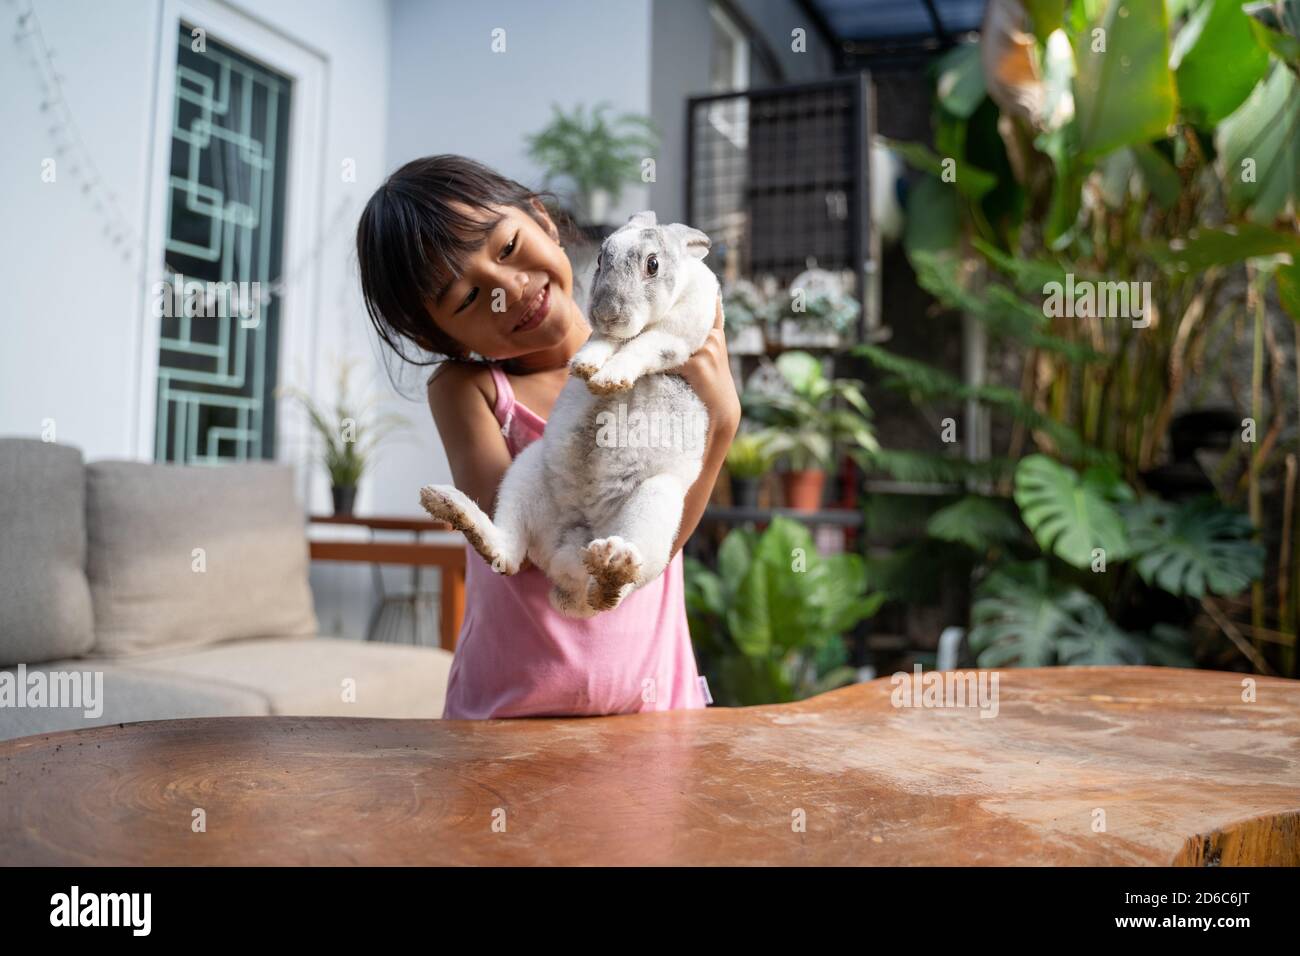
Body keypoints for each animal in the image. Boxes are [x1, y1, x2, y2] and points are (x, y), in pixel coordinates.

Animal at [419, 210, 720, 618]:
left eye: (653, 265)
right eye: (600, 259)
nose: (607, 314)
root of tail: (571, 551)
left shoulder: (676, 335)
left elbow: (641, 346)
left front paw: (609, 380)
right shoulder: (609, 335)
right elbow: (602, 342)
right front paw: (584, 368)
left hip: (658, 502)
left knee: (611, 592)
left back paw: (613, 564)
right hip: (527, 471)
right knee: (507, 554)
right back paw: (448, 504)